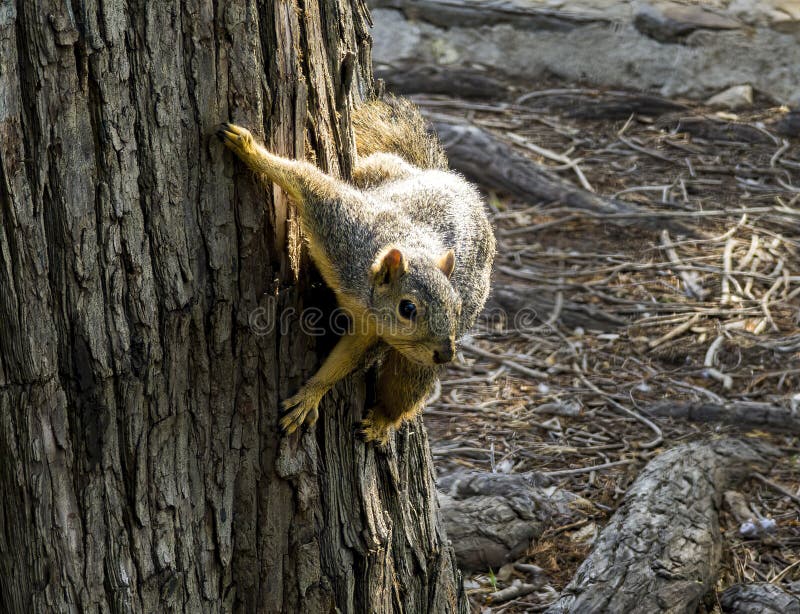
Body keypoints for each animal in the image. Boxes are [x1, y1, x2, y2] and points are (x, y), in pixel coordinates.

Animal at [218, 97, 495, 444]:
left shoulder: (371, 329)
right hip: (381, 170)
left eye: (456, 306)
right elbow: (307, 179)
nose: (447, 353)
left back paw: (383, 420)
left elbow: (348, 357)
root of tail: (462, 185)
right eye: (407, 308)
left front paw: (312, 394)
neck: (363, 291)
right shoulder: (340, 224)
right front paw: (250, 148)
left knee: (407, 385)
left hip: (423, 353)